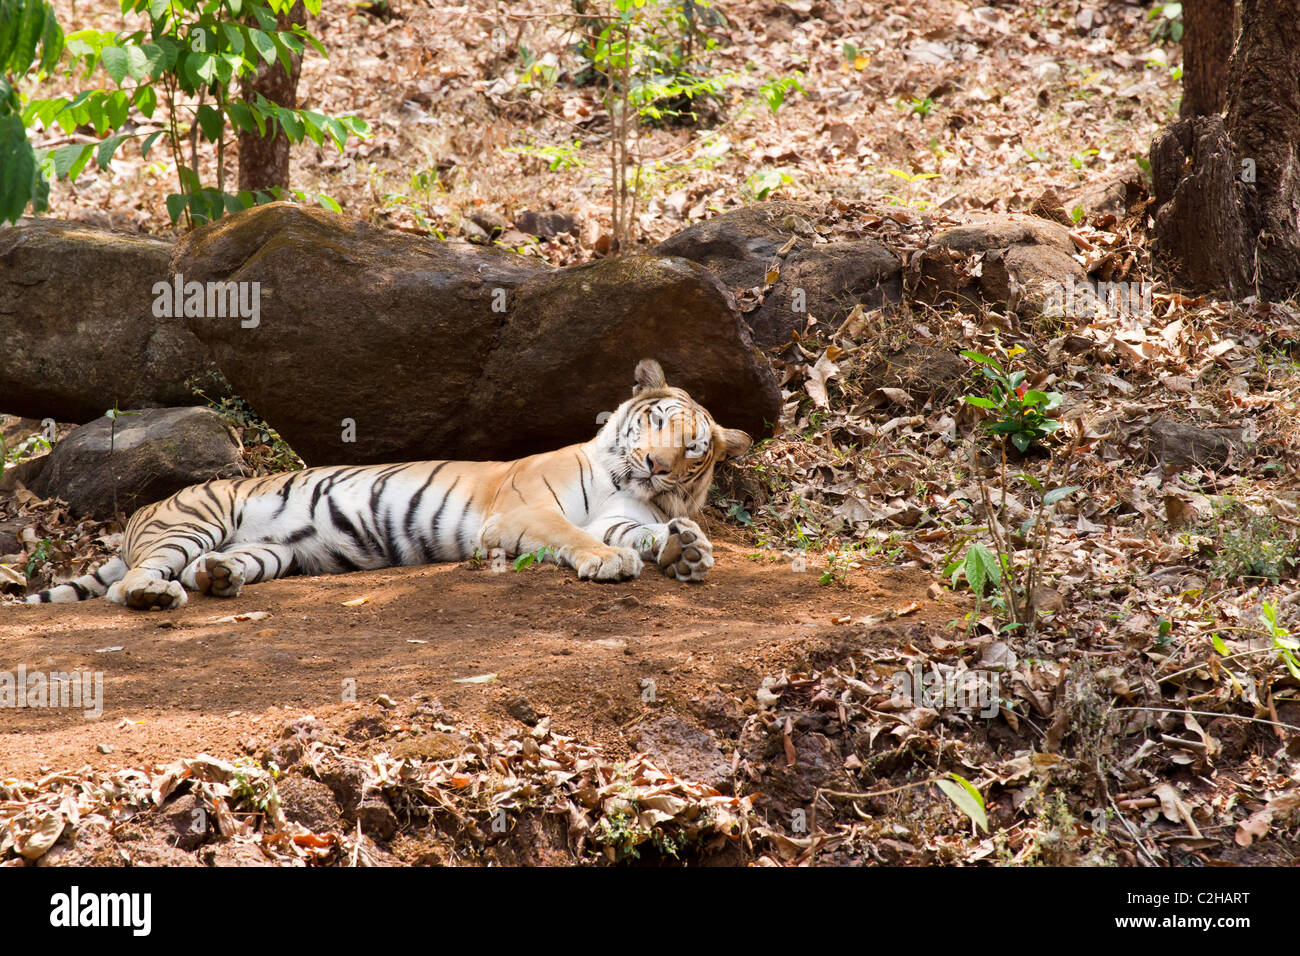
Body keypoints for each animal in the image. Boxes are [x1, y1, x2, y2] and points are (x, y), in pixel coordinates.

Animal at [26, 359, 752, 610]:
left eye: (691, 450)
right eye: (655, 421)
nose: (655, 464)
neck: (624, 483)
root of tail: (139, 517)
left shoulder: (624, 511)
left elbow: (640, 531)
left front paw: (684, 548)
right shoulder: (522, 509)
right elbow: (578, 535)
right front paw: (609, 562)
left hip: (270, 552)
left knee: (213, 567)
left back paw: (215, 580)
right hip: (193, 520)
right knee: (127, 583)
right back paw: (154, 594)